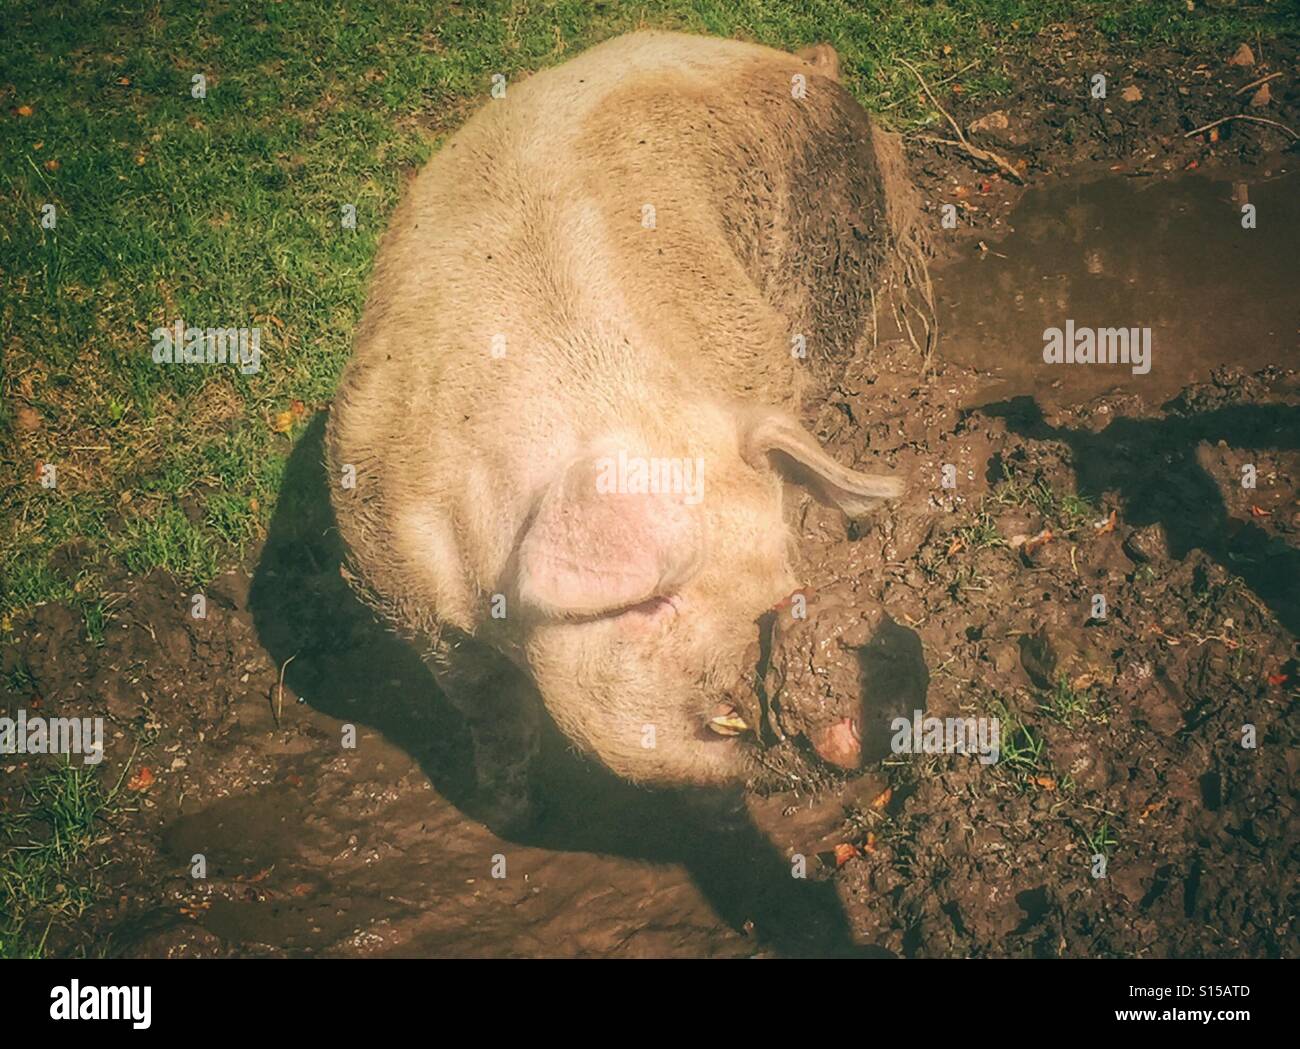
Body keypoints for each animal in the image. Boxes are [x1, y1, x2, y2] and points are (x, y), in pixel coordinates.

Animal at [326, 31, 925, 828]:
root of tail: (799, 60)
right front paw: (506, 816)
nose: (878, 657)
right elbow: (488, 708)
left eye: (782, 558)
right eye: (652, 604)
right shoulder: (400, 581)